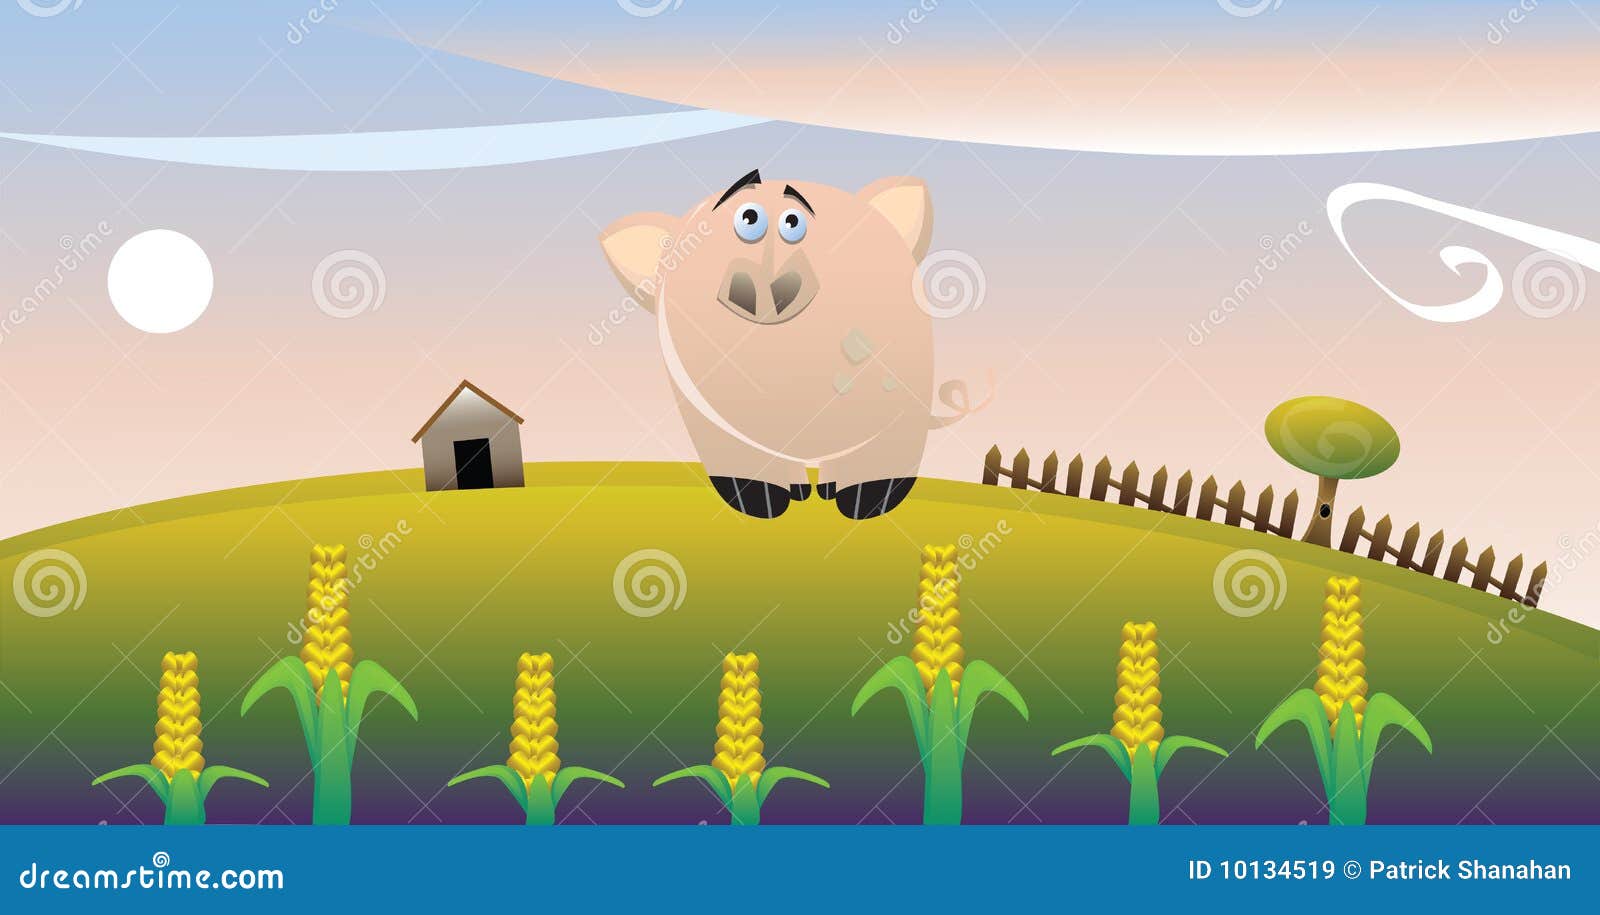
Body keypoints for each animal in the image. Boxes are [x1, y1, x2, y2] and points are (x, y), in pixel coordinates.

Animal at [599, 170, 978, 520]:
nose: (761, 280)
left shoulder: (897, 415)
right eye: (748, 219)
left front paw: (865, 502)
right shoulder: (714, 421)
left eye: (792, 223)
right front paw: (762, 501)